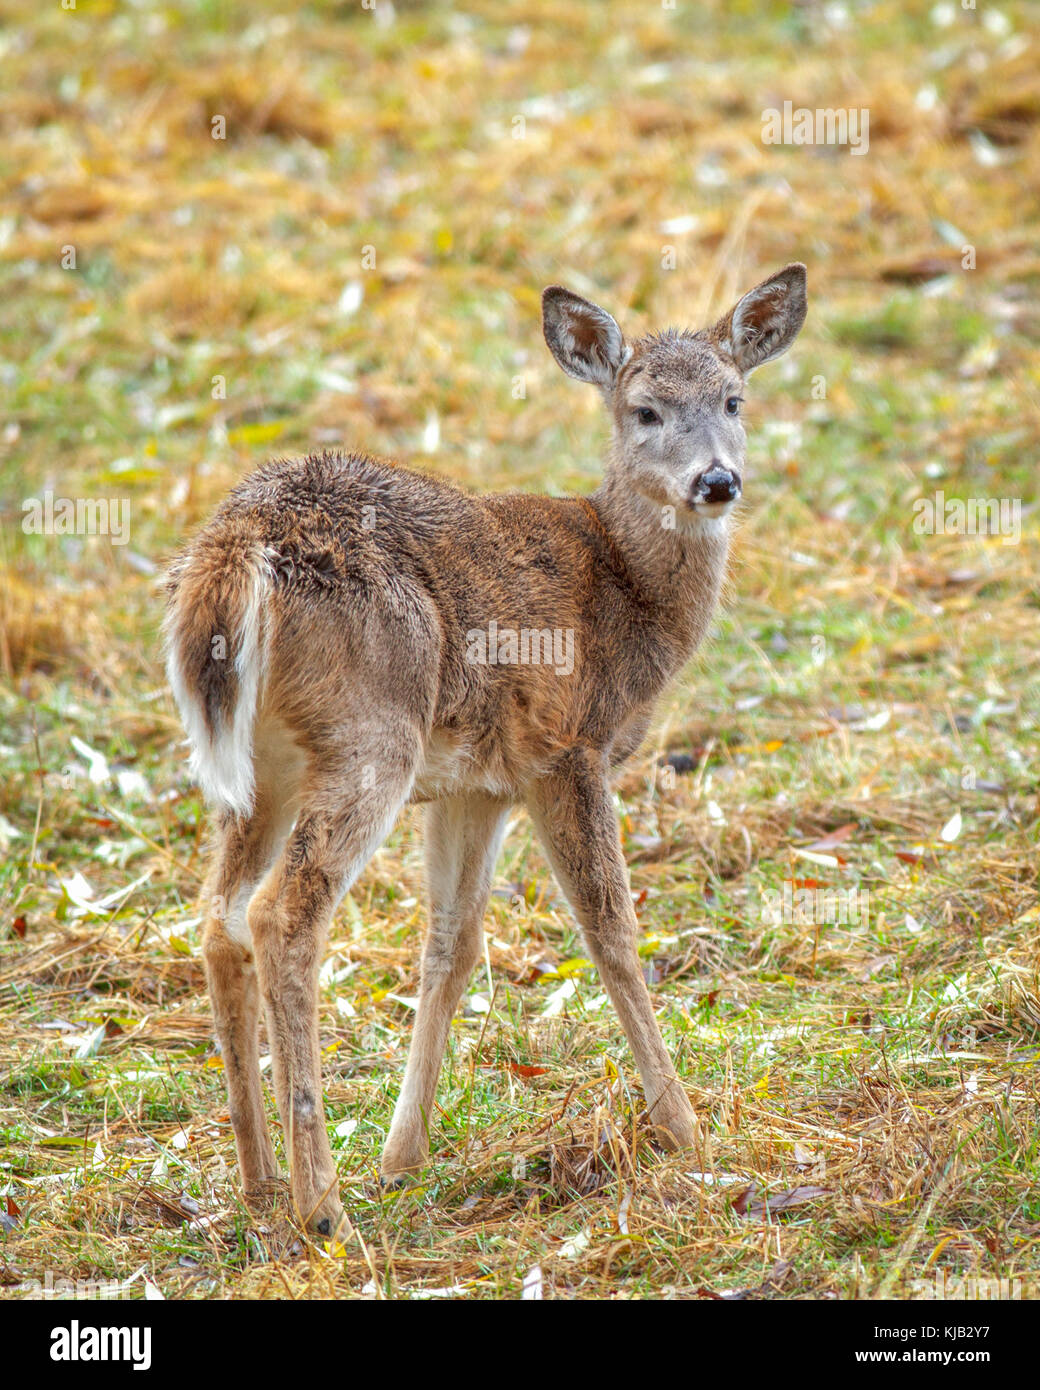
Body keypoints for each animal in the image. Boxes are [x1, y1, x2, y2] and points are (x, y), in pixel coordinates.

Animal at [163, 263, 807, 1239]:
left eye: (734, 399)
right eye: (644, 411)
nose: (718, 481)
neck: (626, 590)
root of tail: (238, 547)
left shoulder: (478, 785)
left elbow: (452, 945)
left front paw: (404, 1155)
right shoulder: (568, 749)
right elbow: (610, 930)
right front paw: (686, 1129)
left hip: (269, 766)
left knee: (218, 914)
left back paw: (262, 1183)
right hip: (374, 733)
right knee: (281, 915)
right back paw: (323, 1209)